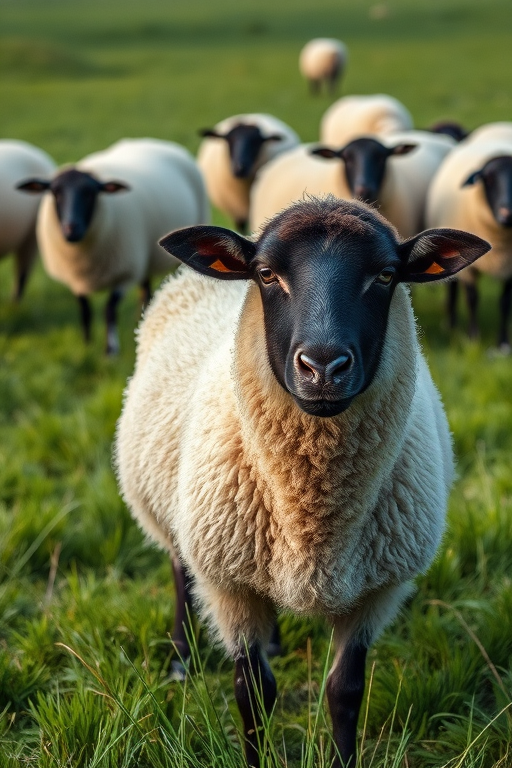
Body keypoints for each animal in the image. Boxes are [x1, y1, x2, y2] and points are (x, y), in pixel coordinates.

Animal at [18, 138, 209, 354]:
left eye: (90, 193)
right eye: (55, 192)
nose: (71, 229)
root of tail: (154, 141)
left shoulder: (125, 272)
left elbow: (109, 310)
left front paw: (110, 350)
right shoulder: (76, 280)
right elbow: (85, 311)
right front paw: (86, 344)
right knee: (145, 288)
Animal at [115, 195, 489, 768]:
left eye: (385, 275)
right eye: (268, 275)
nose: (323, 367)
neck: (313, 517)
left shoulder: (376, 591)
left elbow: (344, 692)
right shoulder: (229, 584)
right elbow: (253, 694)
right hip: (173, 509)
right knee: (179, 569)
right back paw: (179, 659)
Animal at [426, 138, 512, 349]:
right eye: (488, 180)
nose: (507, 215)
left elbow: (505, 302)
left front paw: (503, 343)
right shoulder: (469, 268)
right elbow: (472, 299)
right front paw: (473, 338)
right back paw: (450, 324)